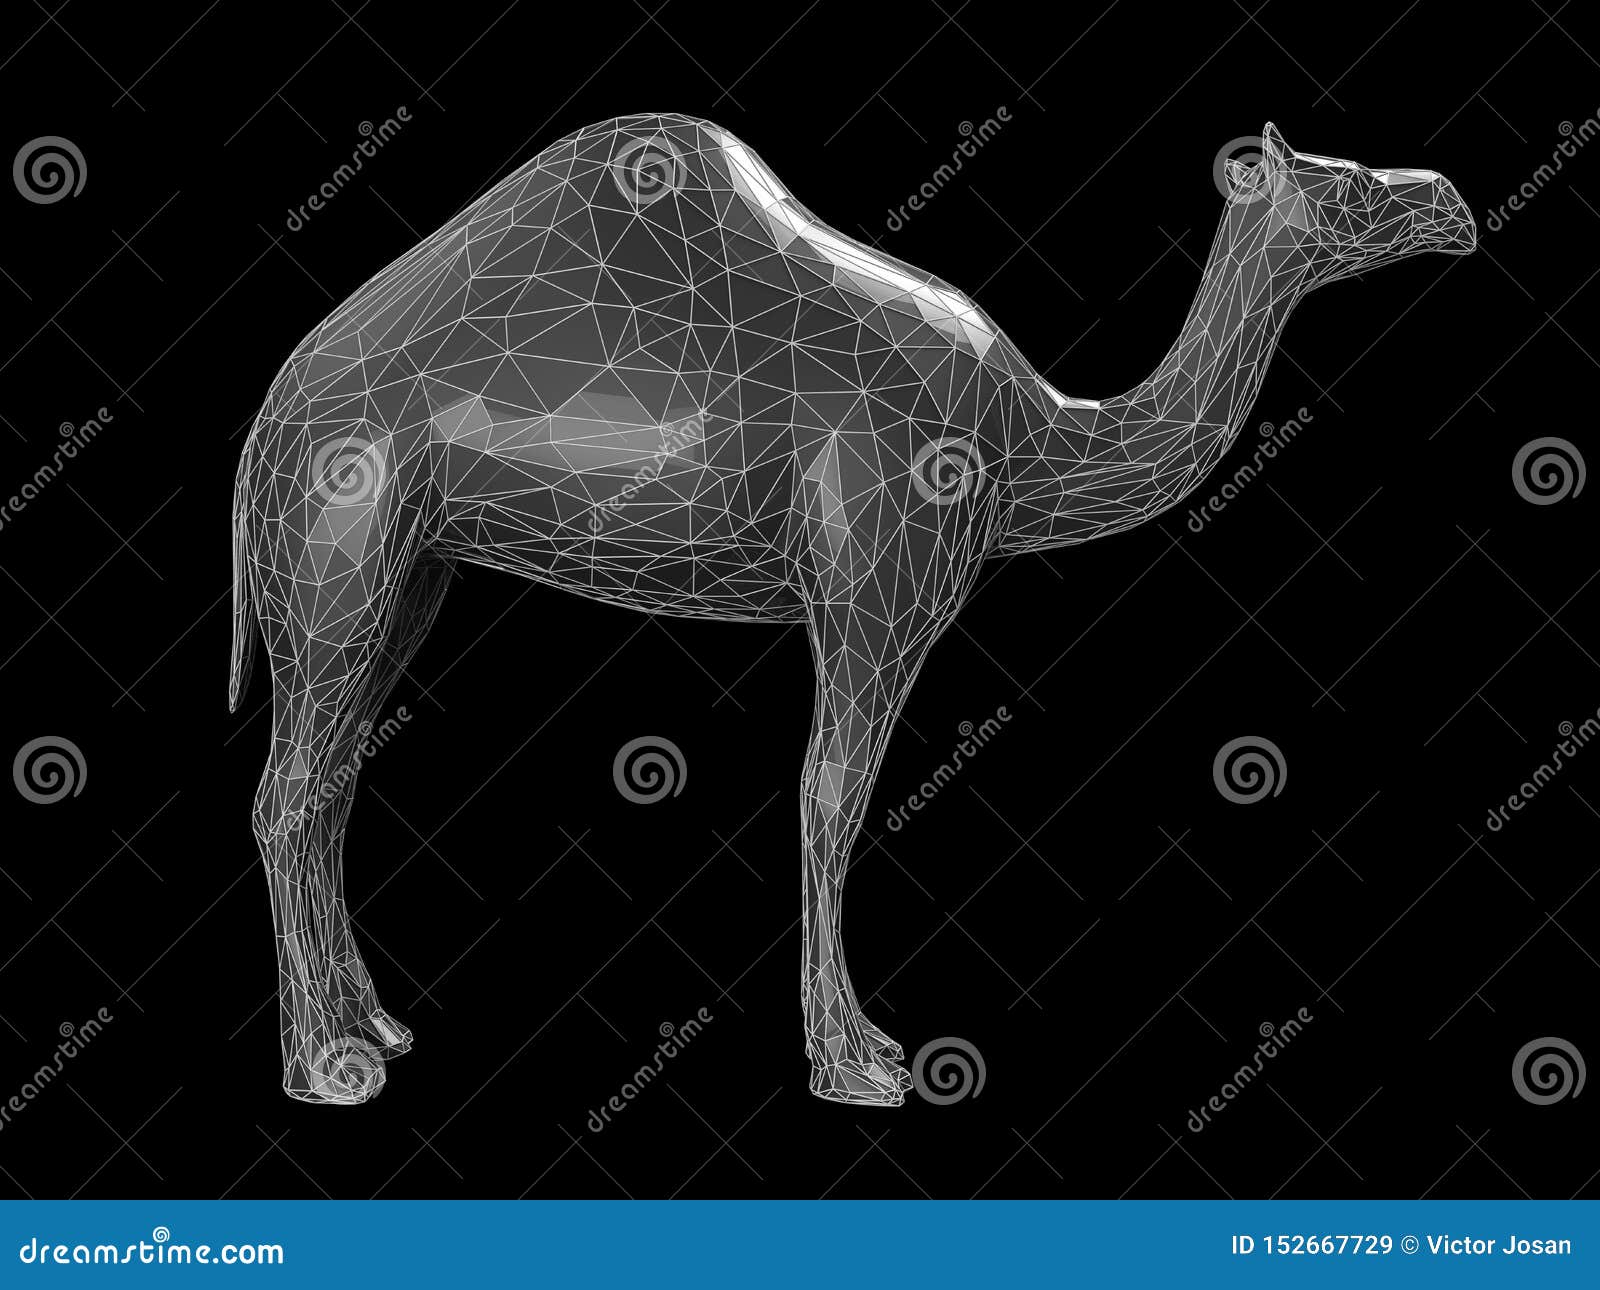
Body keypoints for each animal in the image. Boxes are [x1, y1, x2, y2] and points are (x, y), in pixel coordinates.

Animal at [230, 116, 1474, 1107]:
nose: (1450, 203)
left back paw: (372, 1026)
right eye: (1346, 182)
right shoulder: (876, 587)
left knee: (331, 782)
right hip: (340, 537)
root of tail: (267, 422)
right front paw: (857, 1061)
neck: (1032, 441)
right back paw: (322, 1067)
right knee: (287, 792)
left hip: (411, 572)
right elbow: (830, 801)